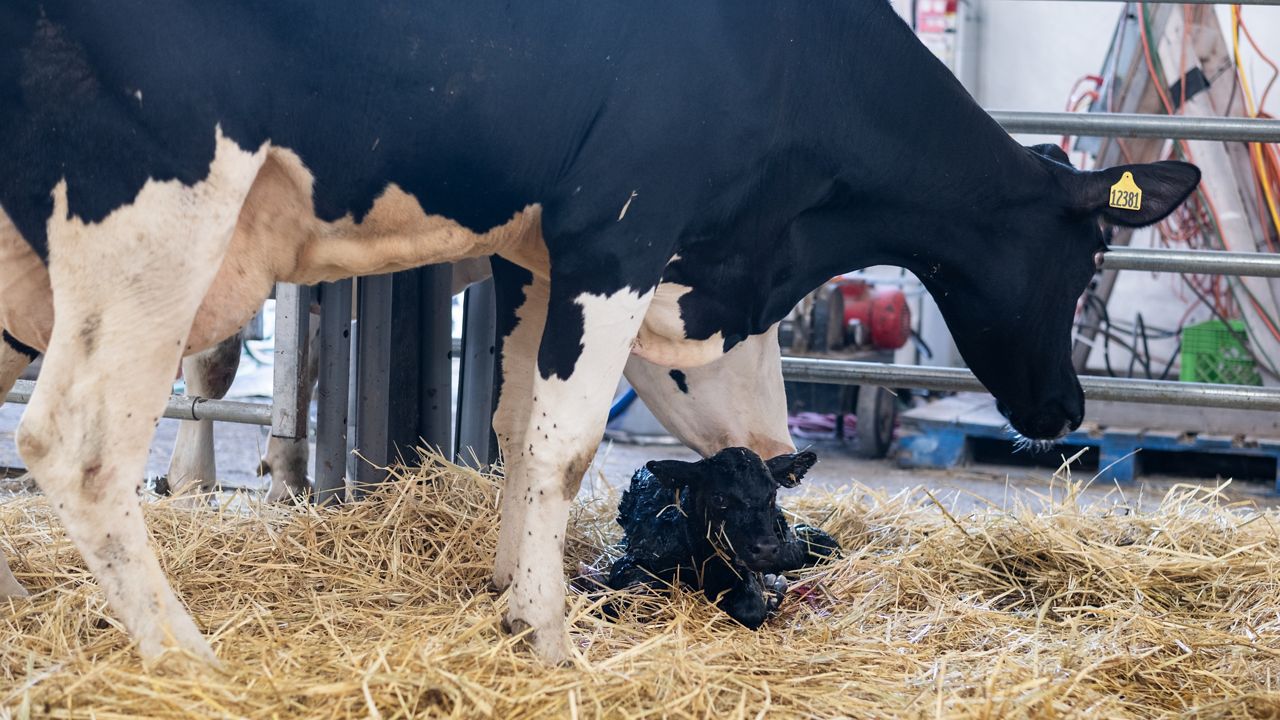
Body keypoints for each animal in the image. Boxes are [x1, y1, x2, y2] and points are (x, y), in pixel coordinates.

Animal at [0, 1, 1199, 666]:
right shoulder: (619, 228)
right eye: (1089, 260)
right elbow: (565, 443)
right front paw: (544, 633)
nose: (1067, 409)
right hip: (153, 206)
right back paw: (187, 658)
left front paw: (506, 590)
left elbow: (513, 420)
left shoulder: (539, 253)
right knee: (82, 445)